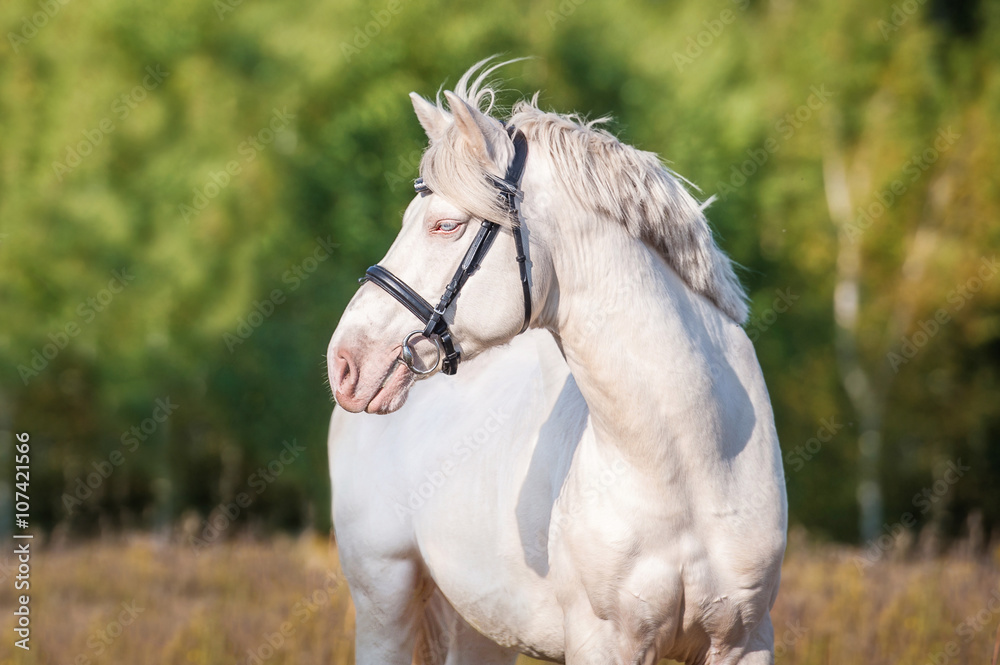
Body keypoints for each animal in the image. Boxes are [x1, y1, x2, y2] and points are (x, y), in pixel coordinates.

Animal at [326, 59, 787, 665]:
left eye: (445, 225)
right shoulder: (604, 641)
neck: (693, 458)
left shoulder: (745, 641)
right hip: (383, 599)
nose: (344, 362)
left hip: (480, 624)